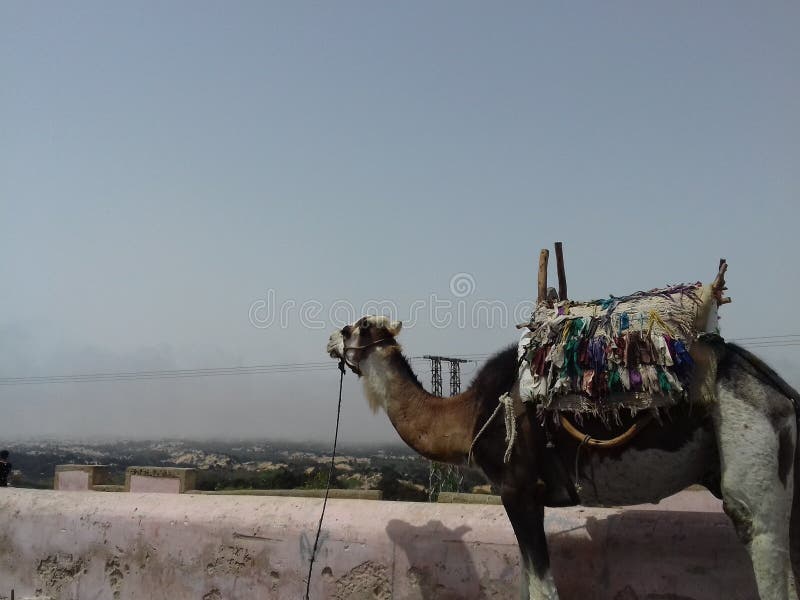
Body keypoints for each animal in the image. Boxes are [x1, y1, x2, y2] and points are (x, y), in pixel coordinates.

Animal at [327, 315, 800, 600]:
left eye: (355, 327)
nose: (330, 338)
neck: (469, 414)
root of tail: (778, 388)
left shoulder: (519, 487)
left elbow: (542, 589)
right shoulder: (525, 497)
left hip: (747, 434)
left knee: (756, 527)